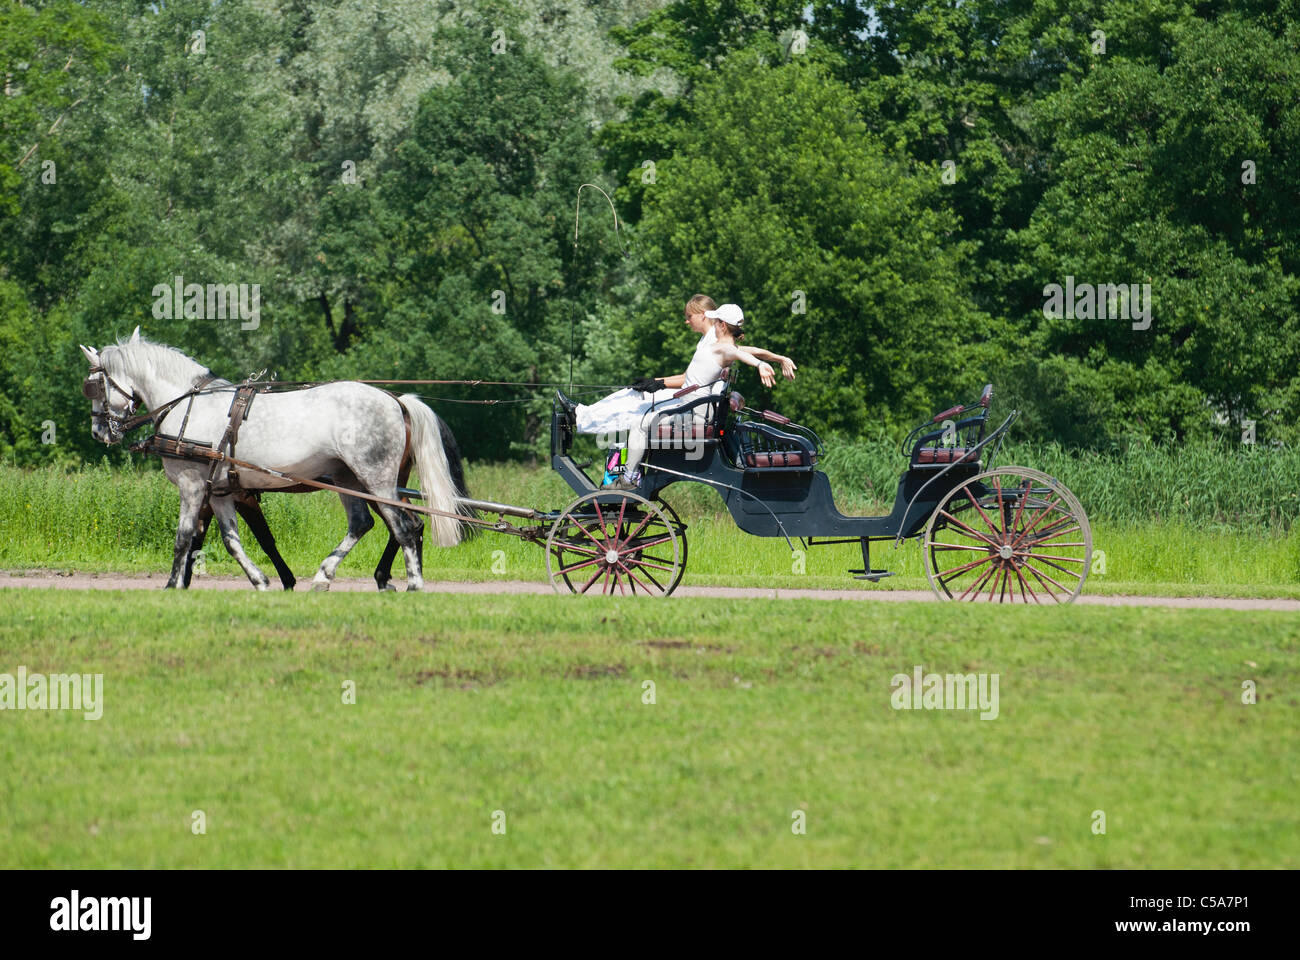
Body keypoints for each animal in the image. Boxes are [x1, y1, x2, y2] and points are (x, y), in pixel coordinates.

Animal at [80, 330, 473, 591]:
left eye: (94, 386)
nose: (99, 432)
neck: (187, 405)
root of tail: (396, 401)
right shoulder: (220, 491)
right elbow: (231, 540)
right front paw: (261, 580)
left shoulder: (192, 485)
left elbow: (184, 536)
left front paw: (172, 585)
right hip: (351, 480)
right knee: (368, 524)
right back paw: (326, 575)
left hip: (376, 479)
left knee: (404, 527)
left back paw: (413, 583)